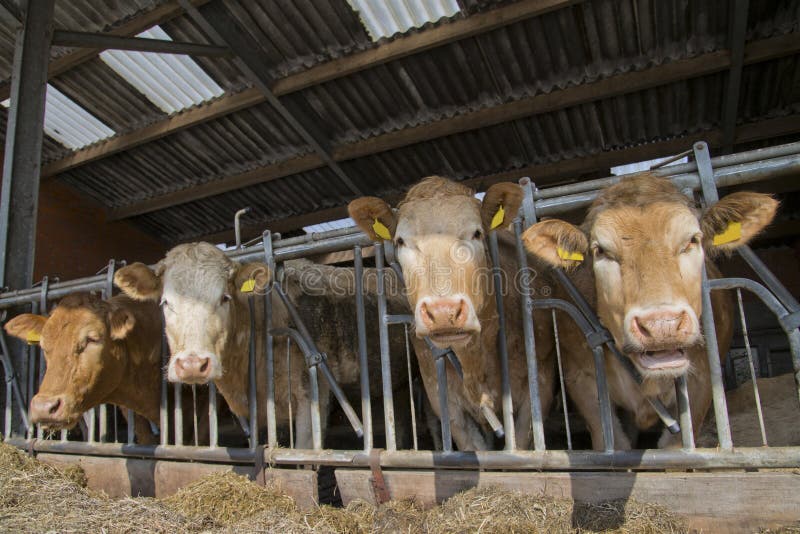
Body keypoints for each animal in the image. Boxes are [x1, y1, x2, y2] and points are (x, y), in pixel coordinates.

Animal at [348, 176, 557, 451]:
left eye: (477, 233)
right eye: (400, 241)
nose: (442, 311)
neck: (475, 364)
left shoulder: (539, 389)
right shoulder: (444, 402)